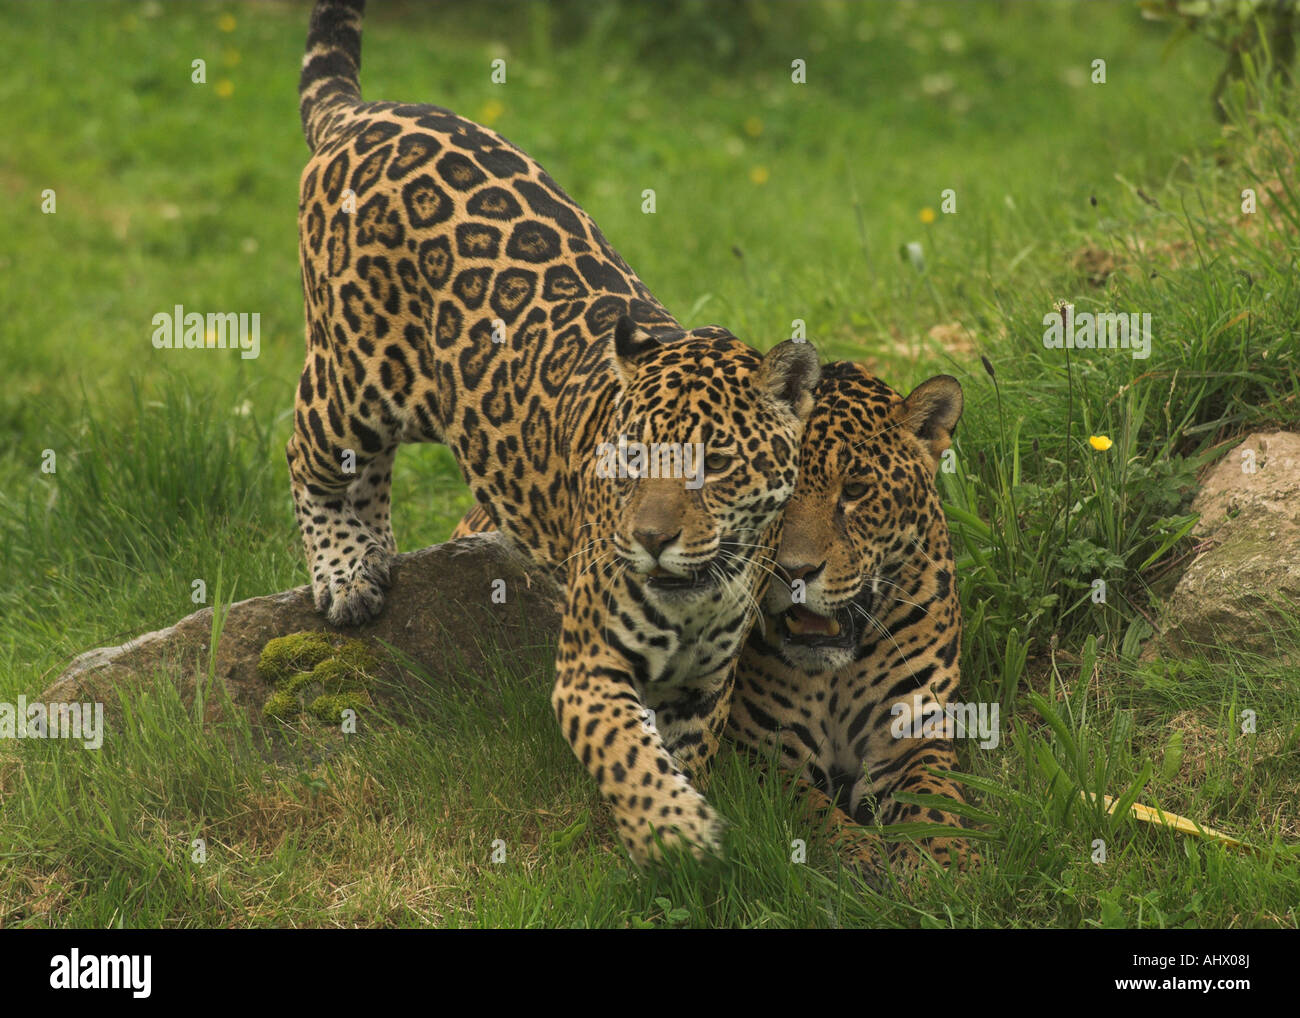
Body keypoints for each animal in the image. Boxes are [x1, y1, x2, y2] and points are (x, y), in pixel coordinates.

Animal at [289, 0, 820, 865]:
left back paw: (372, 557)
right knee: (315, 450)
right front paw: (677, 836)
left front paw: (667, 833)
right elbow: (626, 751)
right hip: (358, 369)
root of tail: (366, 114)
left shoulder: (702, 686)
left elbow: (679, 754)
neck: (704, 590)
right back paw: (344, 574)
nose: (651, 542)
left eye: (715, 463)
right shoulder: (590, 667)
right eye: (630, 457)